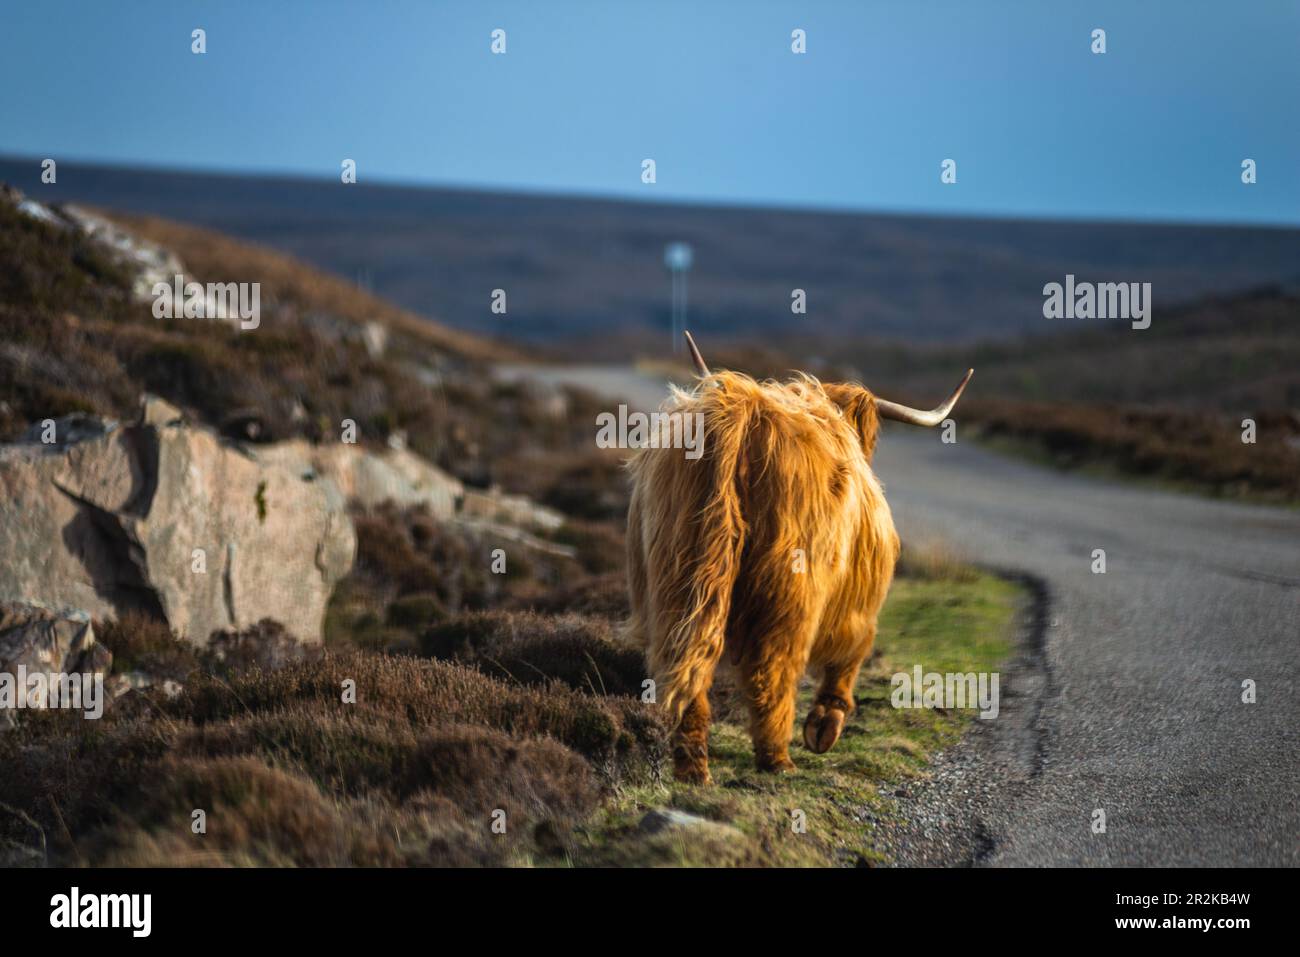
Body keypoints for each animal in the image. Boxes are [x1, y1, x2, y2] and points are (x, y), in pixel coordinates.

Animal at [625, 331, 972, 783]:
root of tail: (744, 407)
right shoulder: (858, 601)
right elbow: (851, 653)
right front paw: (824, 727)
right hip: (790, 591)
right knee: (773, 666)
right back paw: (777, 758)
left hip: (674, 574)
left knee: (682, 660)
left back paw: (693, 767)